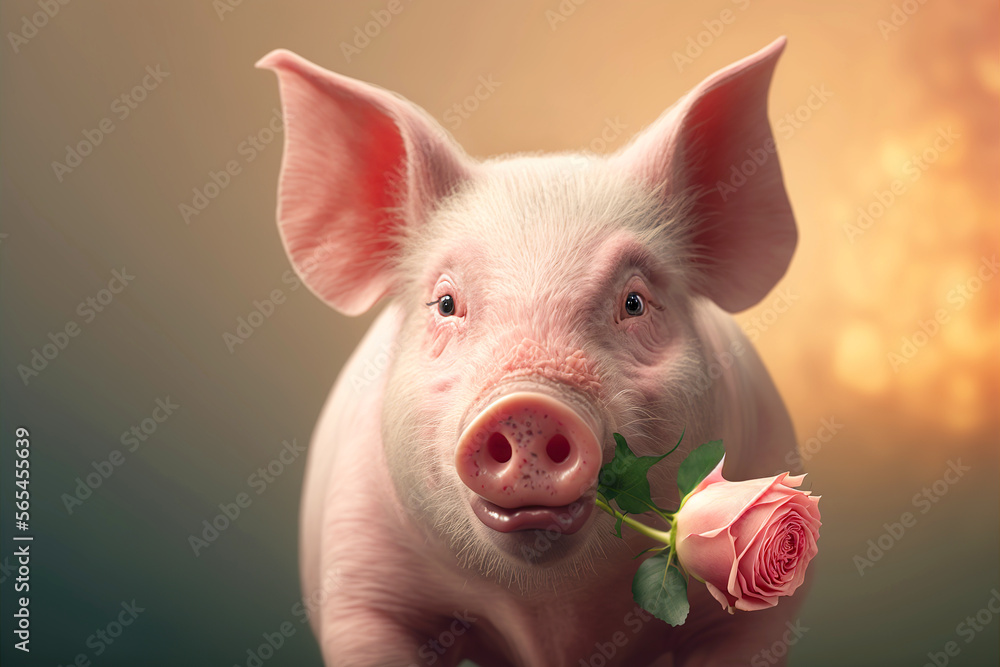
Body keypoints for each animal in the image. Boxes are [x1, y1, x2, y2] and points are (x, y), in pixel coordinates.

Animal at [257, 36, 804, 667]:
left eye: (635, 302)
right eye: (446, 303)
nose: (530, 407)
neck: (553, 616)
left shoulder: (752, 621)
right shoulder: (361, 585)